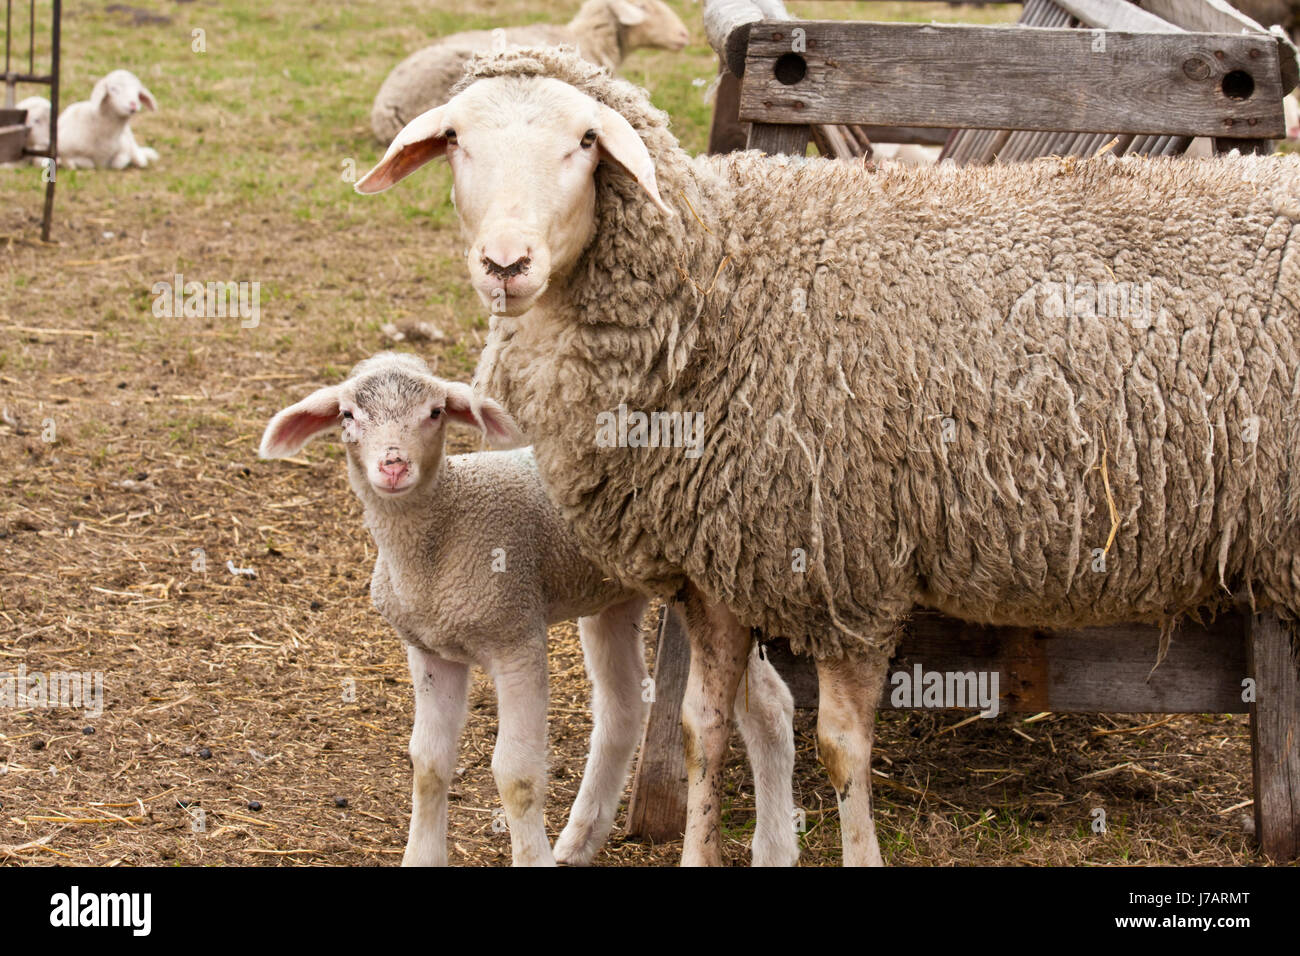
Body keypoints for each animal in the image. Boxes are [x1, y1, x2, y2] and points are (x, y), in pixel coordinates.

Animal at [259, 352, 799, 866]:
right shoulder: (430, 651)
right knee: (623, 706)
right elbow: (428, 763)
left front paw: (530, 856)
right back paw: (580, 839)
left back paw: (775, 851)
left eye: (434, 412)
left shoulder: (515, 635)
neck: (438, 538)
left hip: (719, 591)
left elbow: (515, 775)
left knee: (767, 707)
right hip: (613, 596)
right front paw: (421, 857)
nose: (393, 466)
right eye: (348, 414)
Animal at [355, 47, 1300, 866]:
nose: (504, 264)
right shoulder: (718, 568)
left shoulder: (852, 561)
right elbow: (702, 728)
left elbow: (842, 748)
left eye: (584, 143)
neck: (721, 283)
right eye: (456, 141)